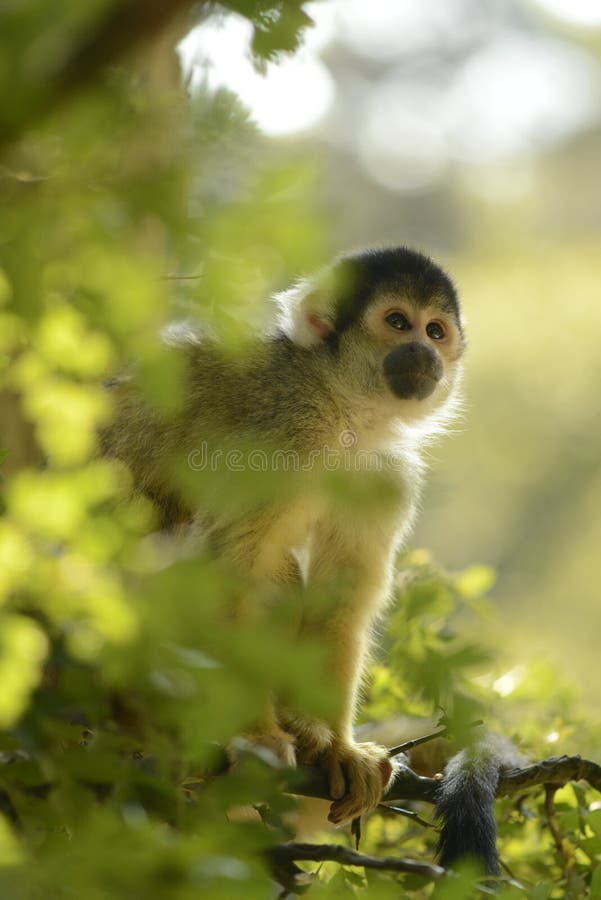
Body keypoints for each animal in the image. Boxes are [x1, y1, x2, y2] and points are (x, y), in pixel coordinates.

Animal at [101, 245, 465, 828]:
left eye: (435, 330)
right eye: (396, 322)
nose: (424, 352)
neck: (341, 407)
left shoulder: (386, 474)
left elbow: (341, 599)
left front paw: (336, 747)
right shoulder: (282, 430)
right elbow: (226, 566)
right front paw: (254, 736)